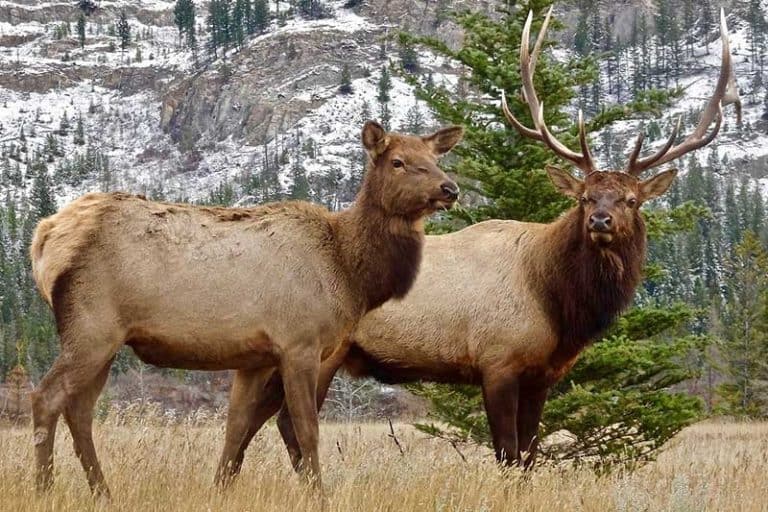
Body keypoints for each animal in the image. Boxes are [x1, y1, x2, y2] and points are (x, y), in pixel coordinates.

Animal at [28, 120, 463, 497]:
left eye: (435, 157)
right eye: (398, 161)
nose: (450, 188)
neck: (347, 271)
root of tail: (44, 235)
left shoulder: (254, 357)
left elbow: (236, 428)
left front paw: (218, 491)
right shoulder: (300, 343)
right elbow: (306, 429)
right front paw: (319, 495)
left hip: (102, 338)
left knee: (79, 409)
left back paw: (103, 492)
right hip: (91, 326)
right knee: (46, 397)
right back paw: (45, 489)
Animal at [255, 8, 741, 473]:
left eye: (632, 200)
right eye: (584, 197)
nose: (600, 220)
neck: (557, 302)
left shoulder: (542, 374)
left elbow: (529, 454)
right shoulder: (497, 360)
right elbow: (507, 452)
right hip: (323, 348)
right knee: (289, 423)